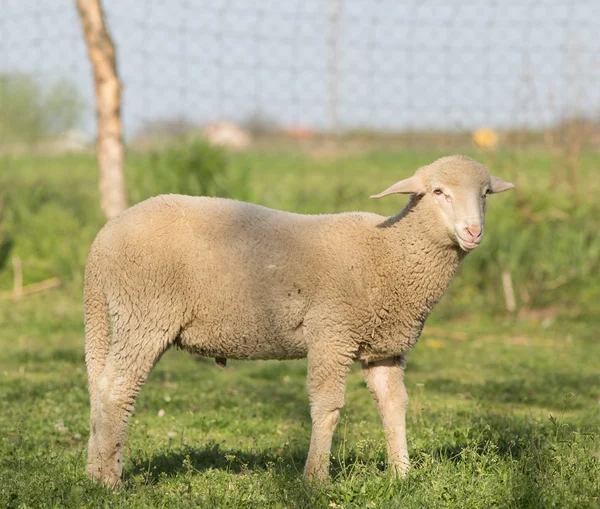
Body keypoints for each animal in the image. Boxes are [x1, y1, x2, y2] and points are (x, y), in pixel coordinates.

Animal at [83, 154, 516, 484]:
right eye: (438, 192)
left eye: (485, 194)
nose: (473, 231)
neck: (391, 250)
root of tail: (102, 239)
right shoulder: (332, 332)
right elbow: (328, 406)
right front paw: (316, 478)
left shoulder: (385, 348)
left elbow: (394, 405)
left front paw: (402, 474)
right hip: (145, 313)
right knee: (115, 390)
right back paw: (110, 482)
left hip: (129, 317)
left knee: (99, 387)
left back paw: (94, 471)